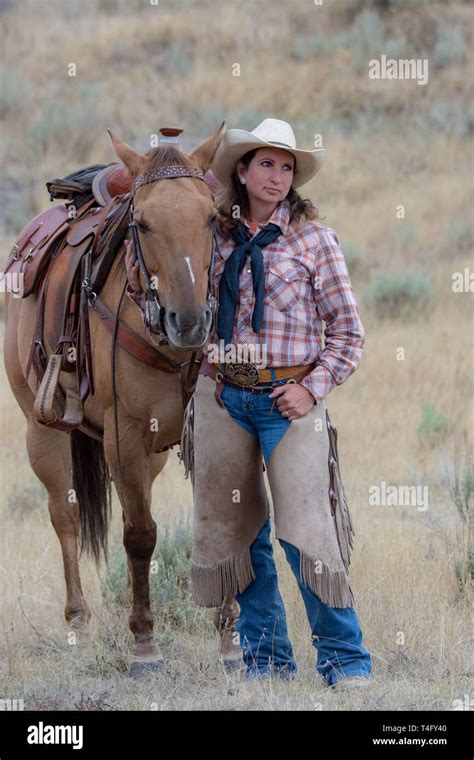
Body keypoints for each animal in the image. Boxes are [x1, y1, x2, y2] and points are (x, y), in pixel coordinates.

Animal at [3, 122, 240, 677]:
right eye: (144, 223)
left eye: (211, 217)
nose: (189, 321)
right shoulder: (124, 434)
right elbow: (139, 535)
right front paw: (145, 643)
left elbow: (217, 529)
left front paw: (229, 640)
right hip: (42, 429)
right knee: (65, 515)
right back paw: (77, 620)